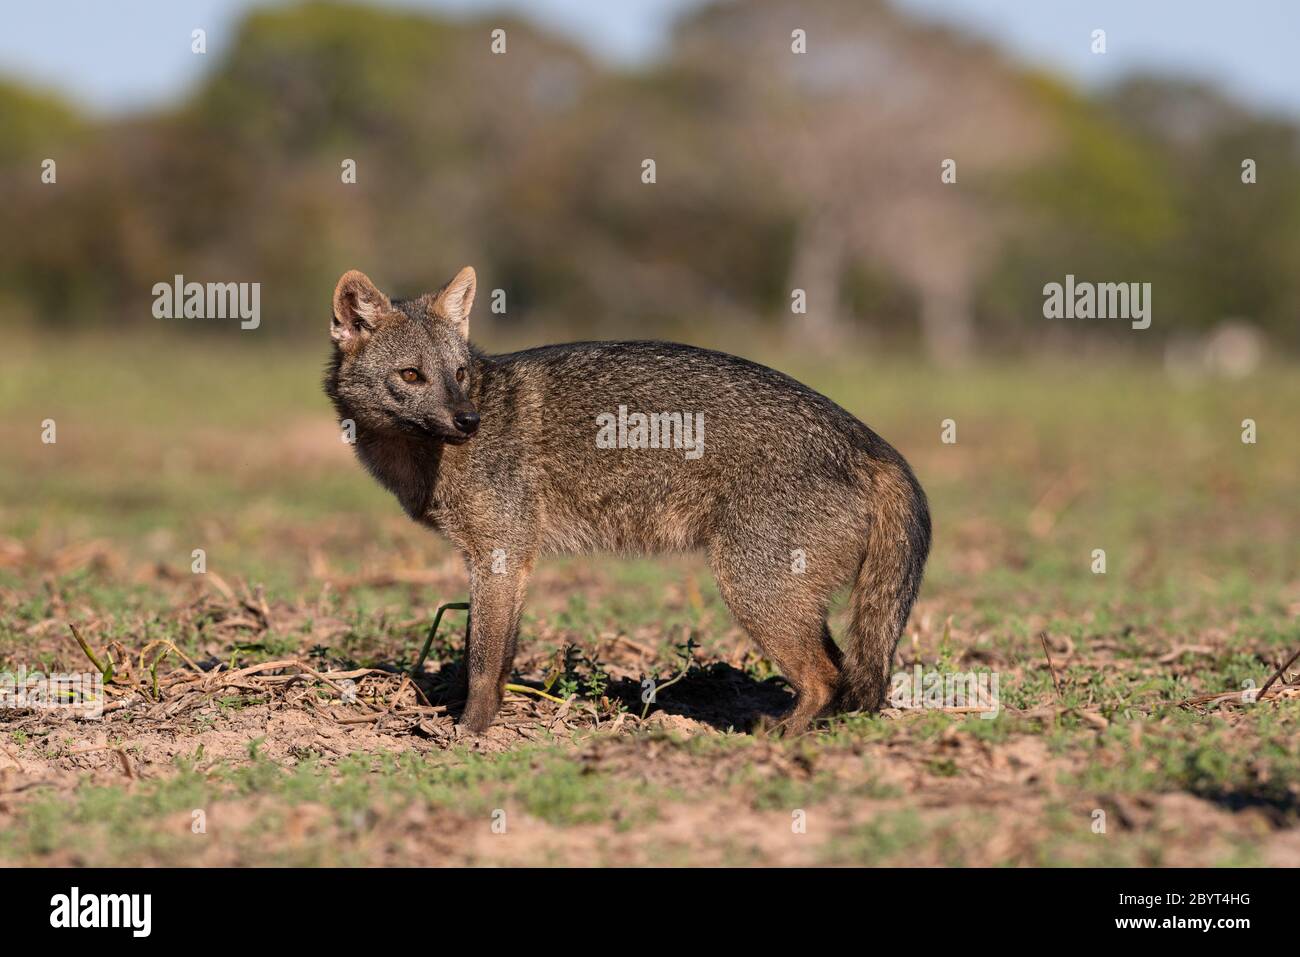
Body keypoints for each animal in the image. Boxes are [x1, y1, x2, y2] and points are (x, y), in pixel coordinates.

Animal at [324, 266, 930, 734]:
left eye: (460, 373)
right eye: (412, 375)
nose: (468, 421)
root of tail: (868, 440)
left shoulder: (499, 556)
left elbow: (482, 660)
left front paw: (467, 732)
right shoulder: (511, 561)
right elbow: (498, 661)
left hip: (753, 591)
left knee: (827, 678)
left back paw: (776, 737)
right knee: (842, 675)